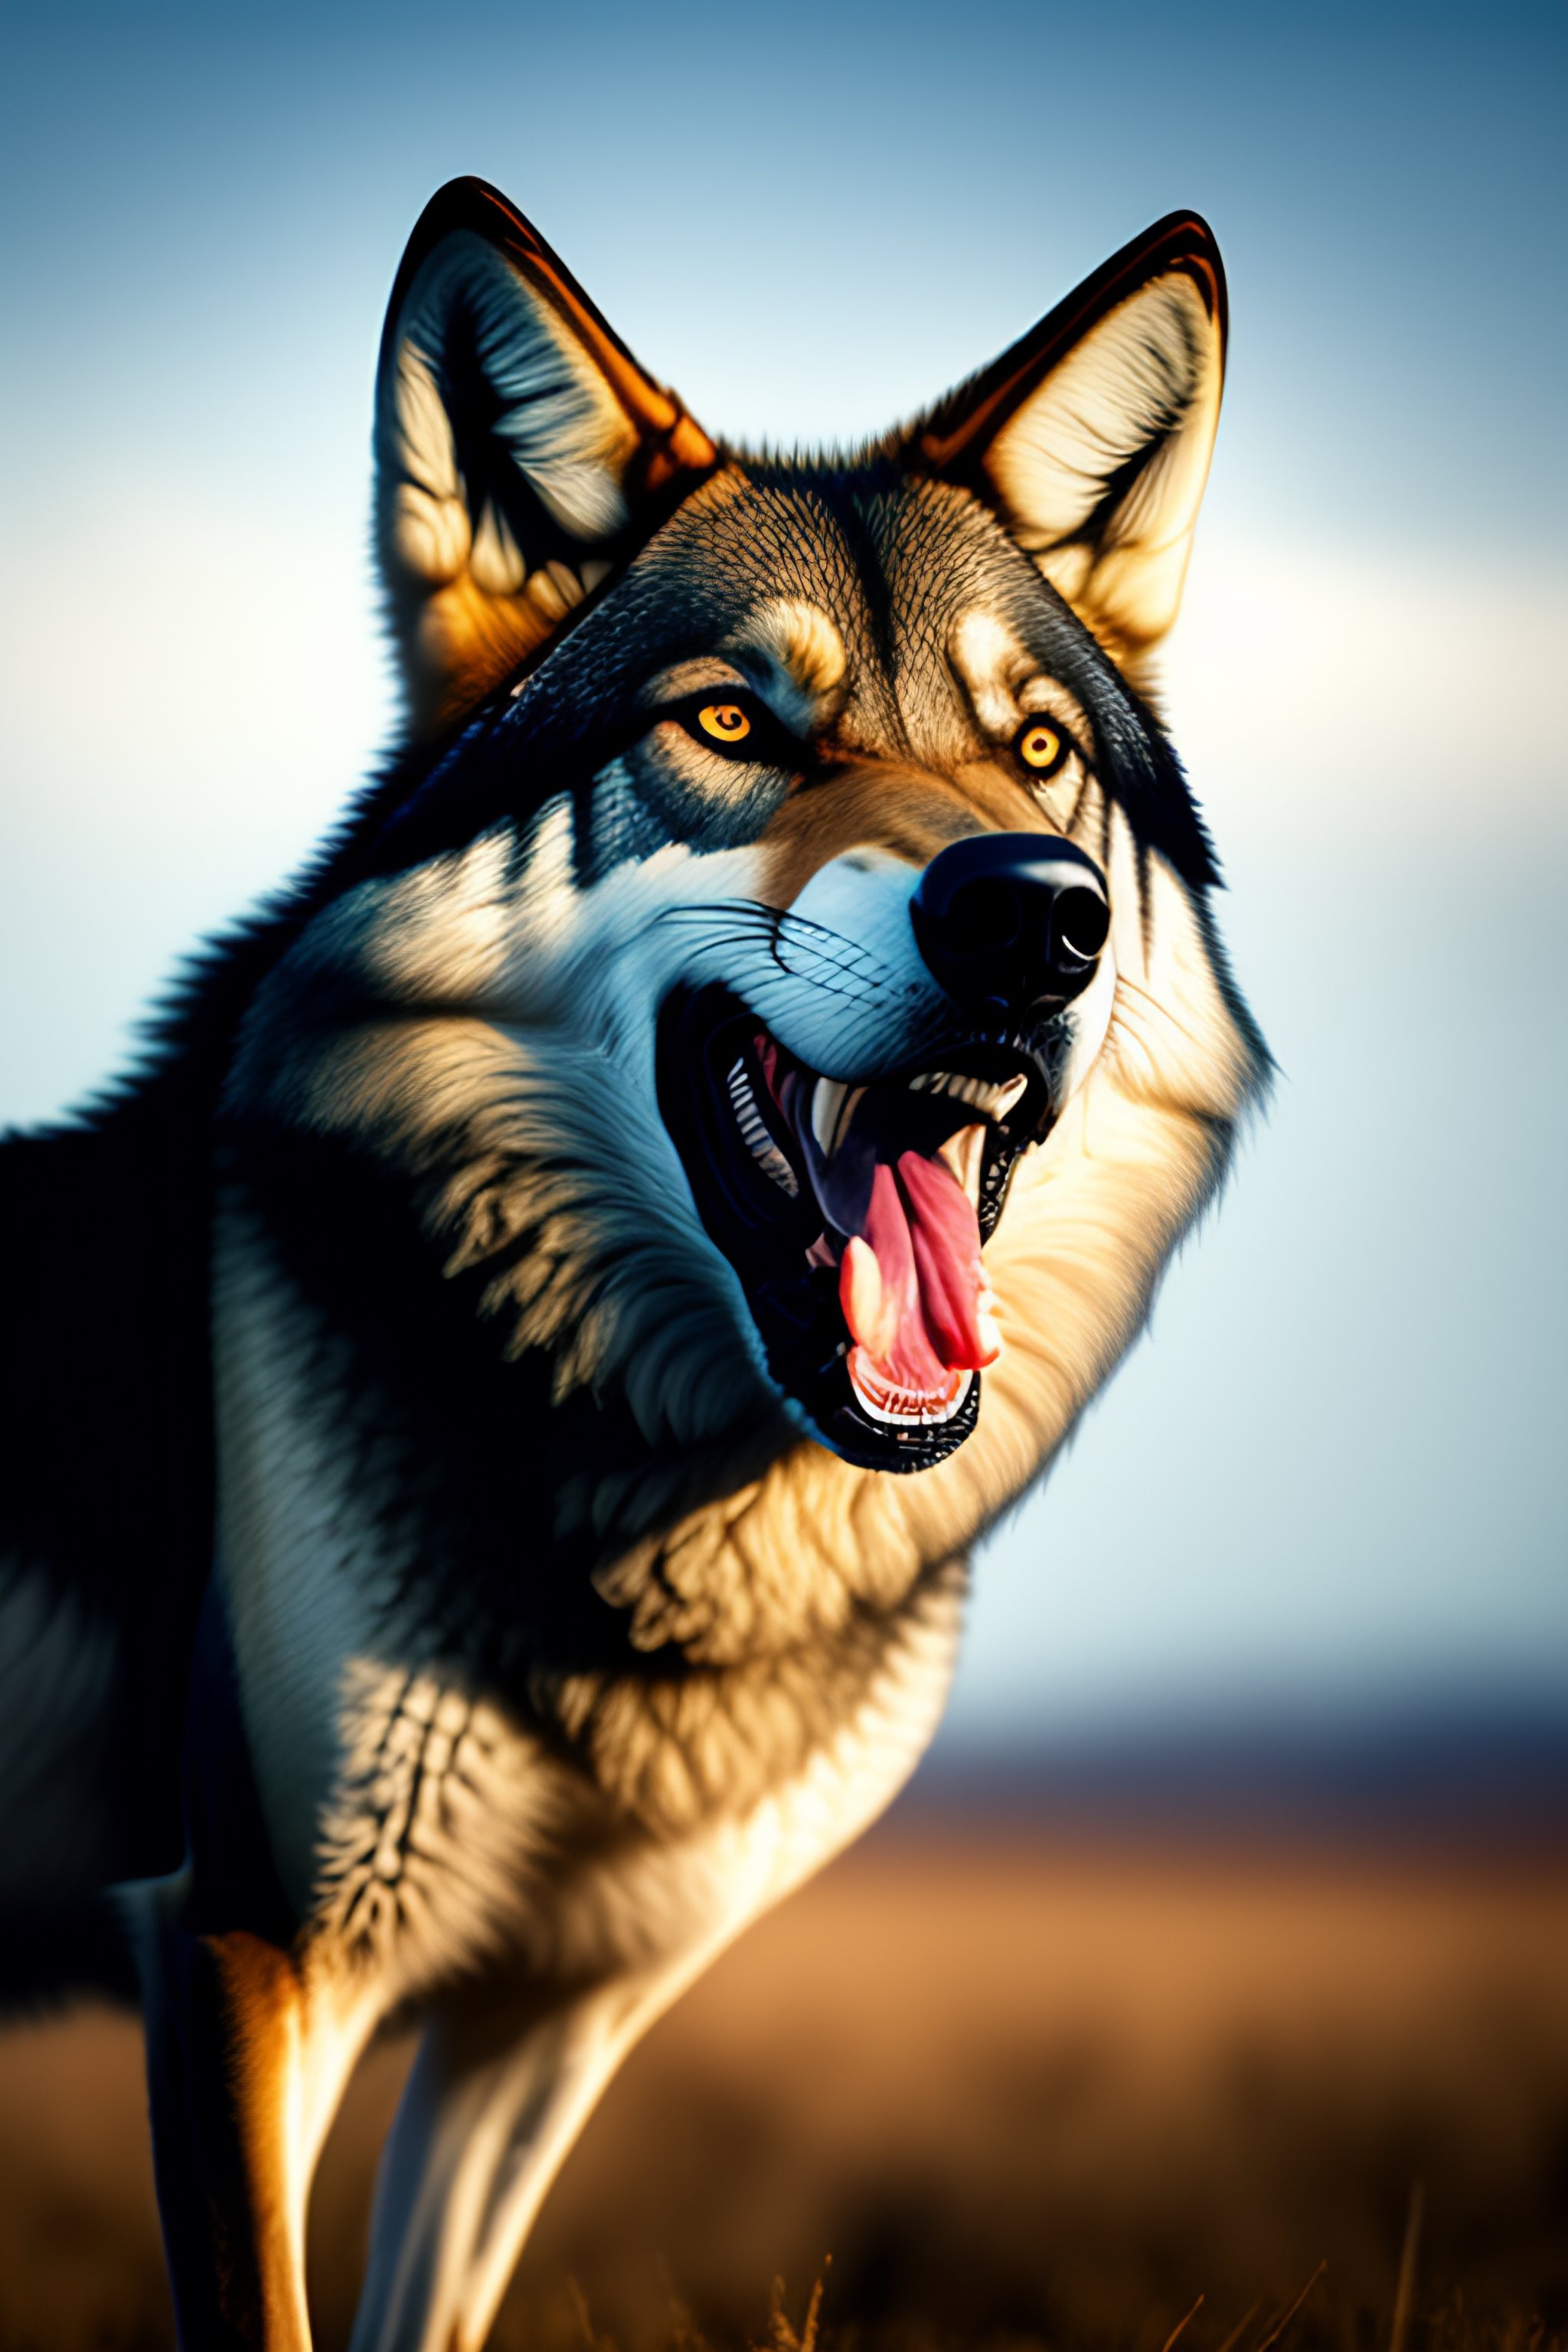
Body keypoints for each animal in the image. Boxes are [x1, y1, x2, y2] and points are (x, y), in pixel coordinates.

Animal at [0, 177, 1265, 2348]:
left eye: (1034, 751)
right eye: (734, 723)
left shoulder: (544, 2022)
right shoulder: (245, 1949)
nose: (1035, 916)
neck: (655, 1522)